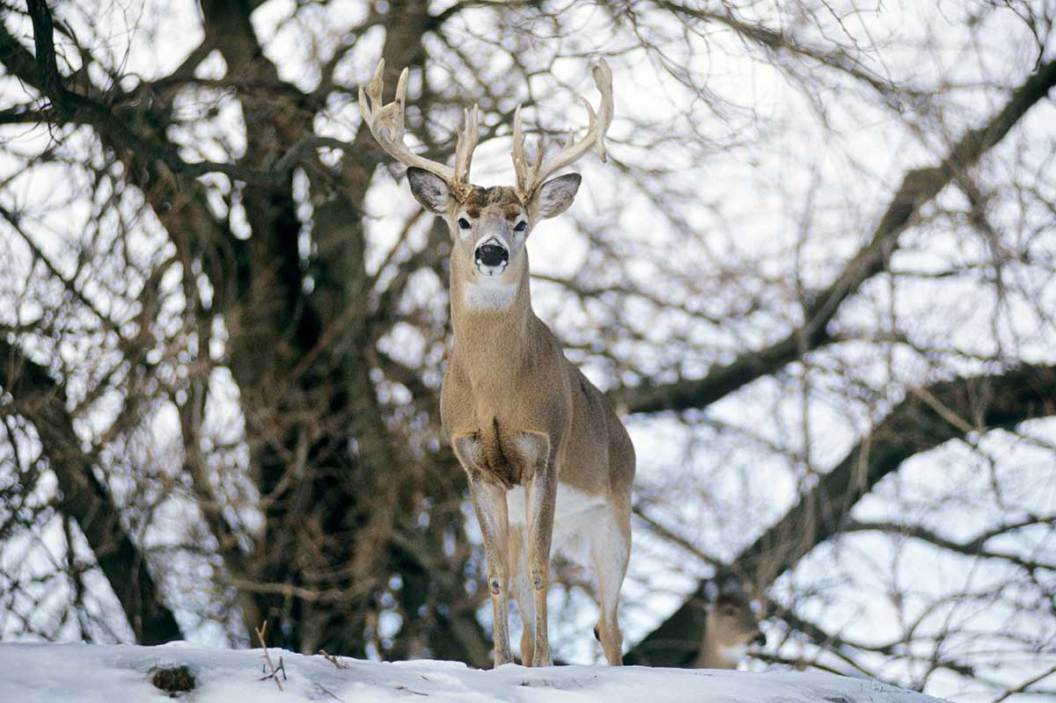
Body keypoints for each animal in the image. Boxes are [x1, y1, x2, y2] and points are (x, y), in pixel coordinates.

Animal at [359, 58, 634, 668]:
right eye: (464, 220)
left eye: (521, 222)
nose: (492, 252)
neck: (494, 393)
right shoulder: (474, 465)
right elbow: (494, 576)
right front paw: (503, 664)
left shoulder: (545, 453)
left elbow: (536, 571)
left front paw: (547, 667)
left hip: (614, 518)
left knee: (609, 624)